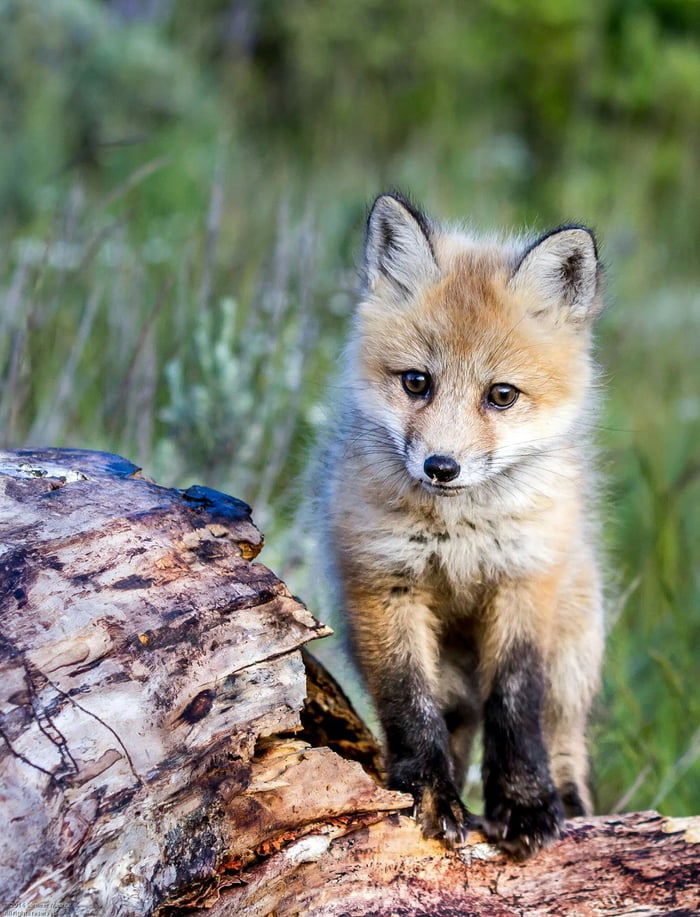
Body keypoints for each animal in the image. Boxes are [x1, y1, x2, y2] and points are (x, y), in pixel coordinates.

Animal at [315, 192, 605, 859]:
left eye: (501, 395)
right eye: (416, 382)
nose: (440, 467)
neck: (461, 536)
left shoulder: (525, 583)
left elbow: (516, 708)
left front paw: (525, 805)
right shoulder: (385, 585)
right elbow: (410, 709)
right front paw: (429, 796)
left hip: (576, 648)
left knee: (564, 734)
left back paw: (571, 799)